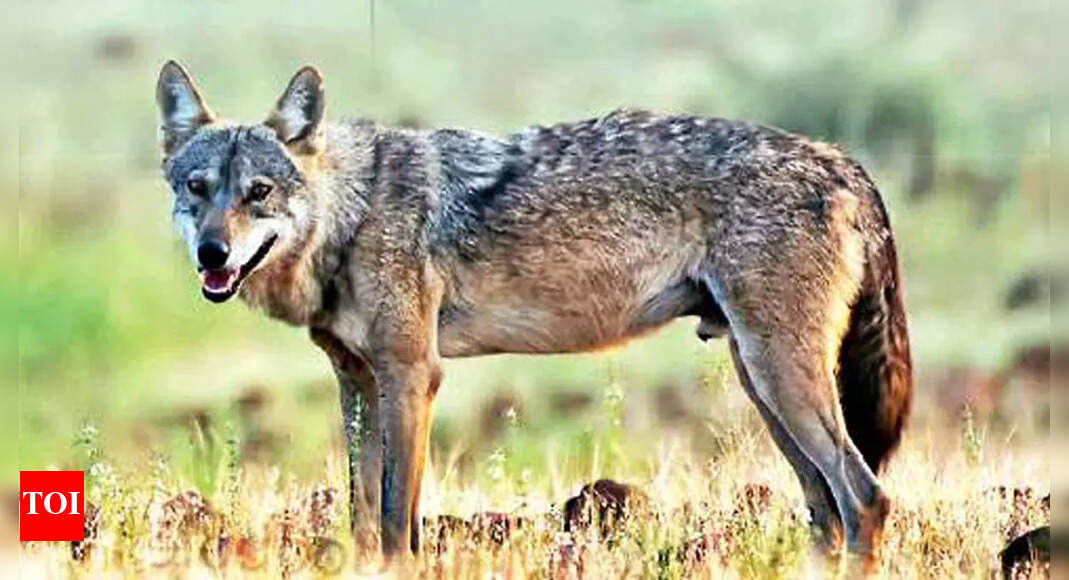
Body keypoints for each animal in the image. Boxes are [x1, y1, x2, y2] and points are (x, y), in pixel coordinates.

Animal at [155, 61, 912, 569]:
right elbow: (362, 514)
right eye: (197, 189)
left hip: (779, 376)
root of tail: (838, 159)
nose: (212, 253)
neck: (355, 213)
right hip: (762, 382)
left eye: (258, 192)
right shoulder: (358, 382)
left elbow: (398, 518)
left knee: (864, 497)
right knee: (825, 510)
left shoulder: (412, 375)